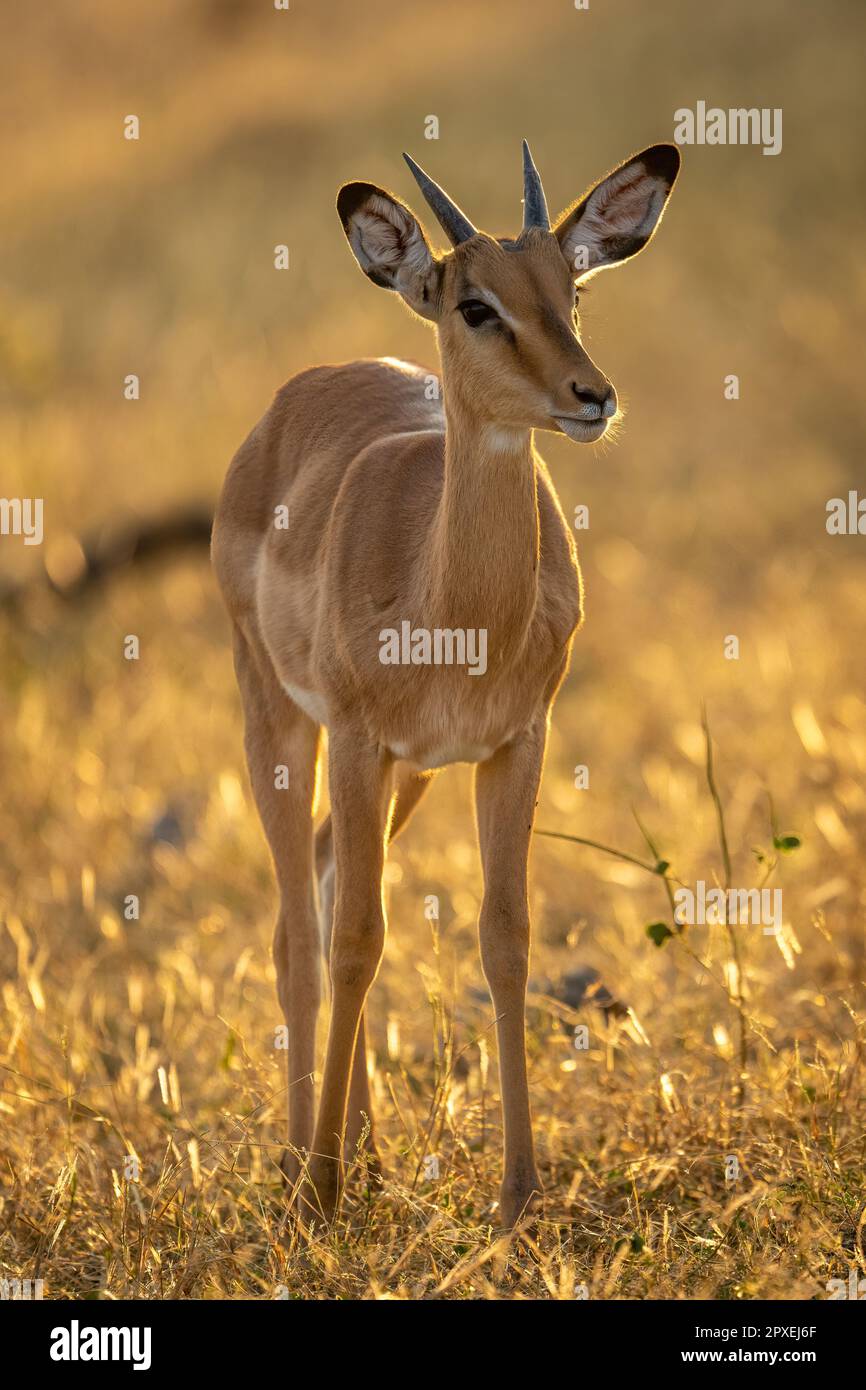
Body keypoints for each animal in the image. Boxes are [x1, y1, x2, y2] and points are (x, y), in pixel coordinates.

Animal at [212, 140, 680, 1227]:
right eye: (476, 304)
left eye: (571, 289)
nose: (591, 395)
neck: (451, 598)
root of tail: (291, 399)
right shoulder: (354, 736)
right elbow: (353, 942)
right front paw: (322, 1192)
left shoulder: (513, 743)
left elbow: (504, 940)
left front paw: (517, 1195)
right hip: (279, 722)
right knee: (299, 930)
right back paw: (302, 1167)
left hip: (408, 773)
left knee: (329, 877)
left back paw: (368, 1157)